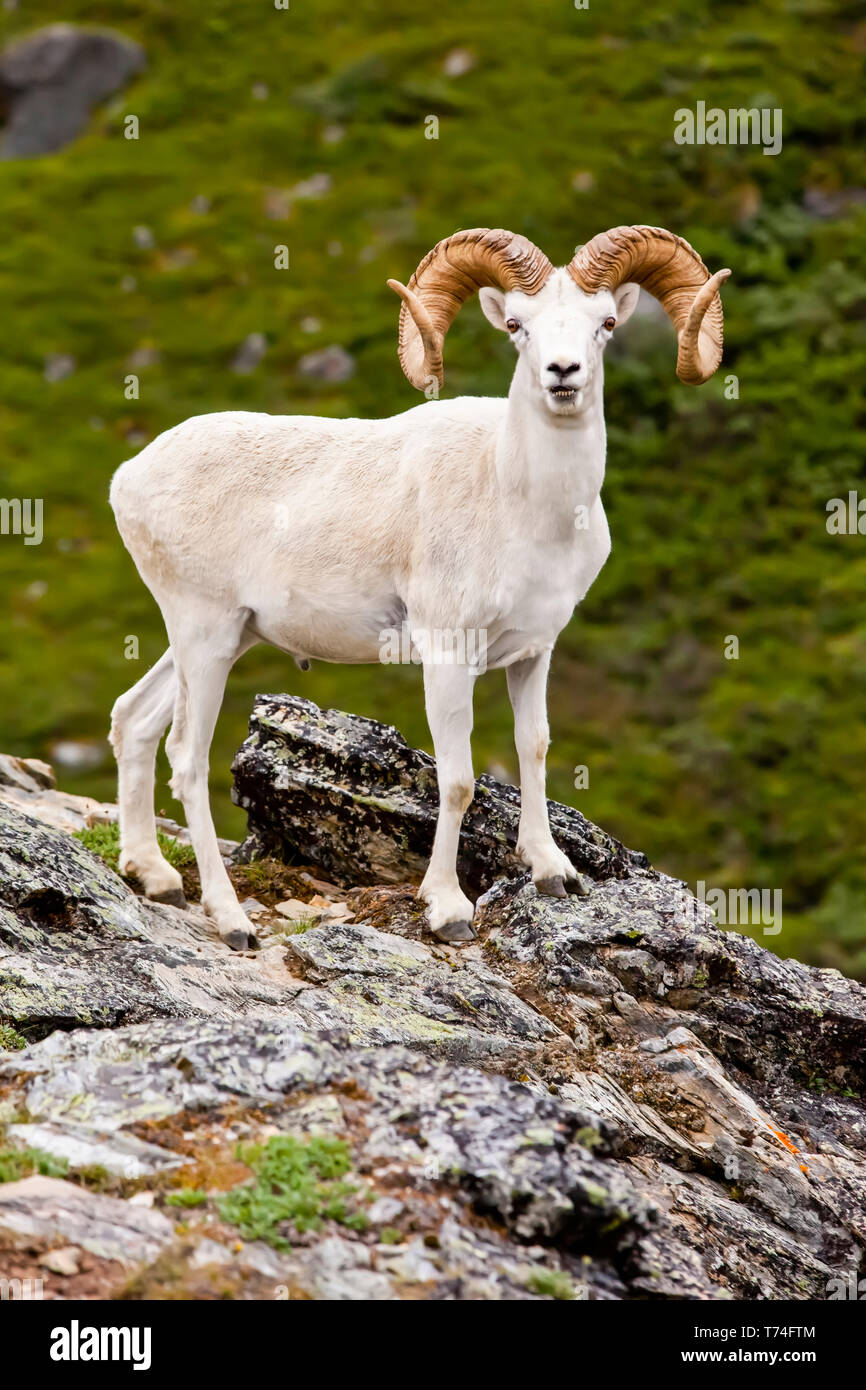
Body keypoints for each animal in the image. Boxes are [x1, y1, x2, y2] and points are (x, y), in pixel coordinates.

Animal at [109, 224, 730, 949]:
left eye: (604, 324)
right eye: (517, 326)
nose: (563, 374)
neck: (523, 504)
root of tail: (128, 478)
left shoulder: (532, 653)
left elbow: (534, 747)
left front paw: (554, 871)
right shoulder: (448, 655)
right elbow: (457, 782)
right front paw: (447, 910)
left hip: (219, 638)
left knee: (134, 720)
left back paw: (155, 878)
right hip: (204, 634)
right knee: (185, 756)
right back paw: (231, 920)